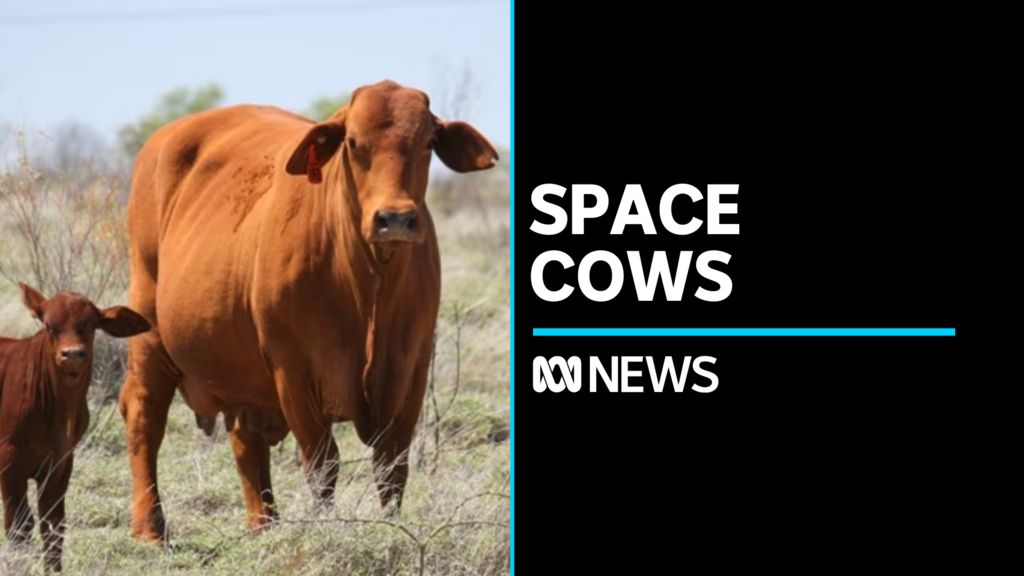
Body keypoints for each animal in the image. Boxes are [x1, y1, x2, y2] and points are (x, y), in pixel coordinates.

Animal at [0, 284, 150, 571]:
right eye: (49, 326)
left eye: (91, 325)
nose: (72, 355)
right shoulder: (9, 461)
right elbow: (19, 525)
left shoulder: (60, 463)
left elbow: (53, 525)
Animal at [120, 80, 498, 541]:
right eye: (353, 143)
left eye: (428, 141)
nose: (394, 219)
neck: (369, 285)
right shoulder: (294, 370)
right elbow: (322, 465)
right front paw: (325, 532)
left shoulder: (413, 368)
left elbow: (392, 466)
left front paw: (391, 531)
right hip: (146, 323)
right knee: (145, 419)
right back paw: (151, 529)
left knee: (245, 439)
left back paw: (262, 526)